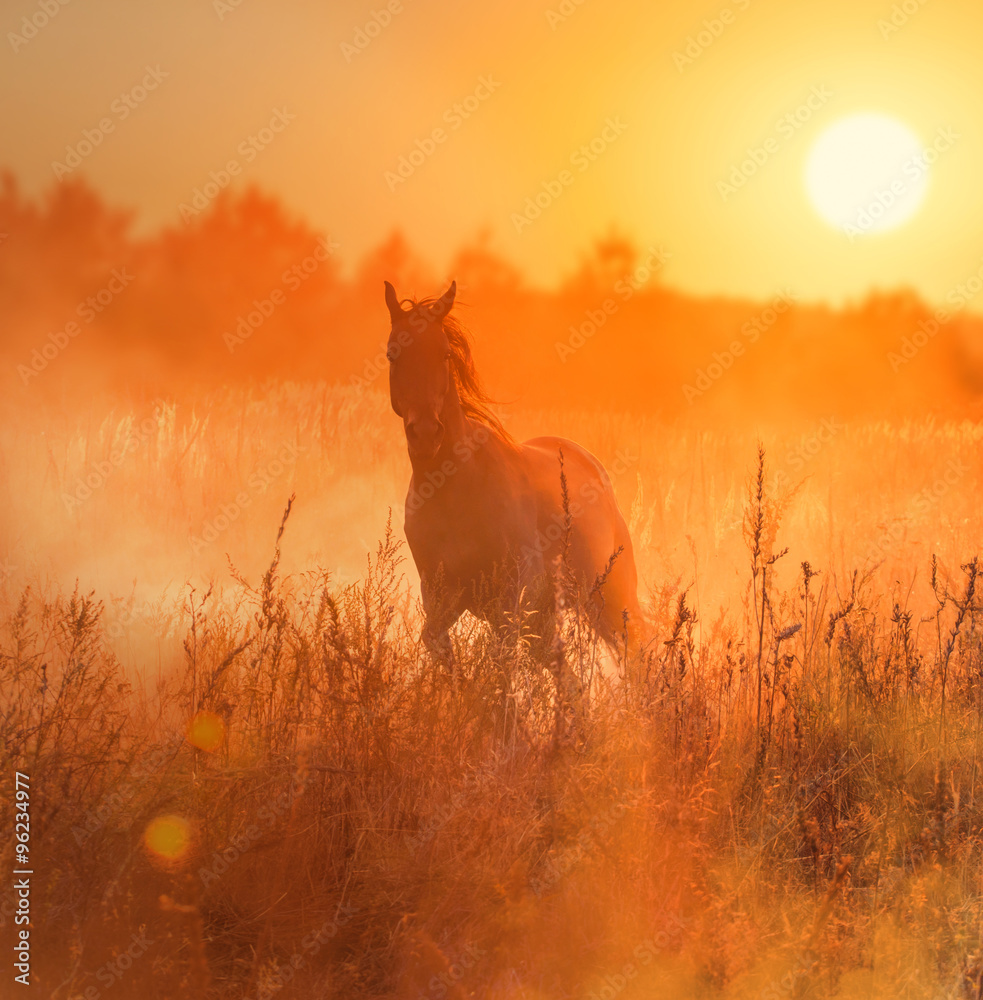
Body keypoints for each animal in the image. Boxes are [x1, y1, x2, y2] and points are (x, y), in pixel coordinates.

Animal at [384, 279, 642, 666]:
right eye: (392, 354)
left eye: (445, 354)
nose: (427, 434)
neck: (454, 488)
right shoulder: (442, 598)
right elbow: (440, 649)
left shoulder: (509, 599)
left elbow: (501, 663)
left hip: (609, 599)